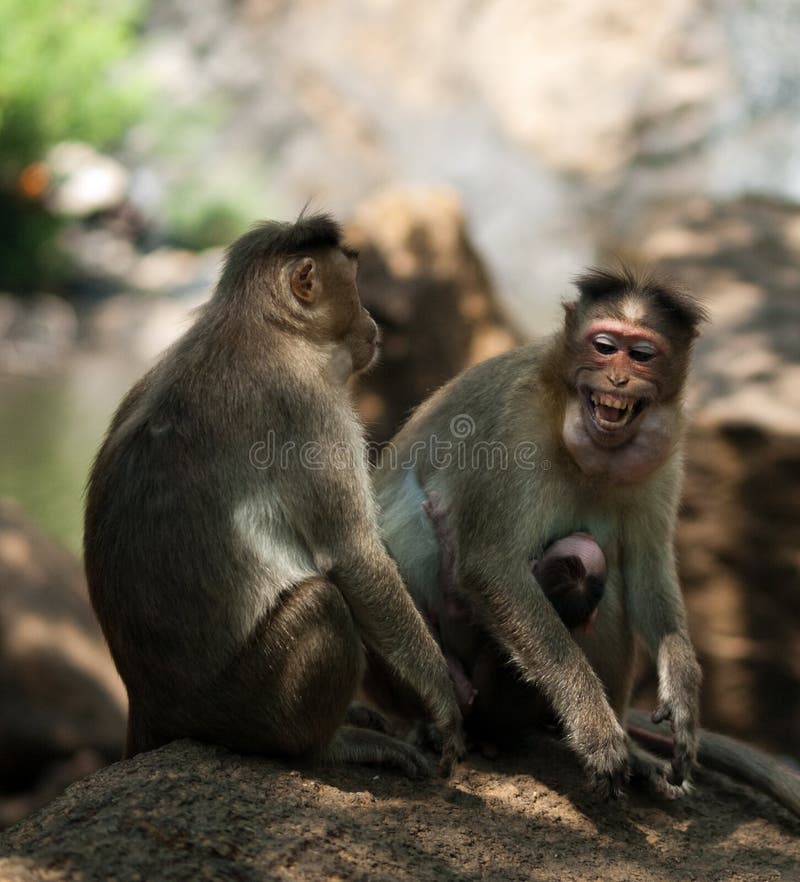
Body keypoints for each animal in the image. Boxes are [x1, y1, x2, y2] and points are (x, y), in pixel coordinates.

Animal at [83, 213, 464, 778]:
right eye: (355, 287)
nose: (373, 322)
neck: (264, 326)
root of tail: (149, 706)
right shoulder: (310, 406)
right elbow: (353, 557)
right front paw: (443, 702)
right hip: (245, 703)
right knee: (323, 604)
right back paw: (328, 745)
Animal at [374, 265, 800, 816]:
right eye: (604, 346)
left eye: (641, 355)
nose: (618, 379)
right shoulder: (512, 421)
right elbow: (488, 566)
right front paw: (593, 727)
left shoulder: (665, 445)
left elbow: (646, 564)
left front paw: (683, 685)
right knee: (410, 523)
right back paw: (423, 720)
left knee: (609, 577)